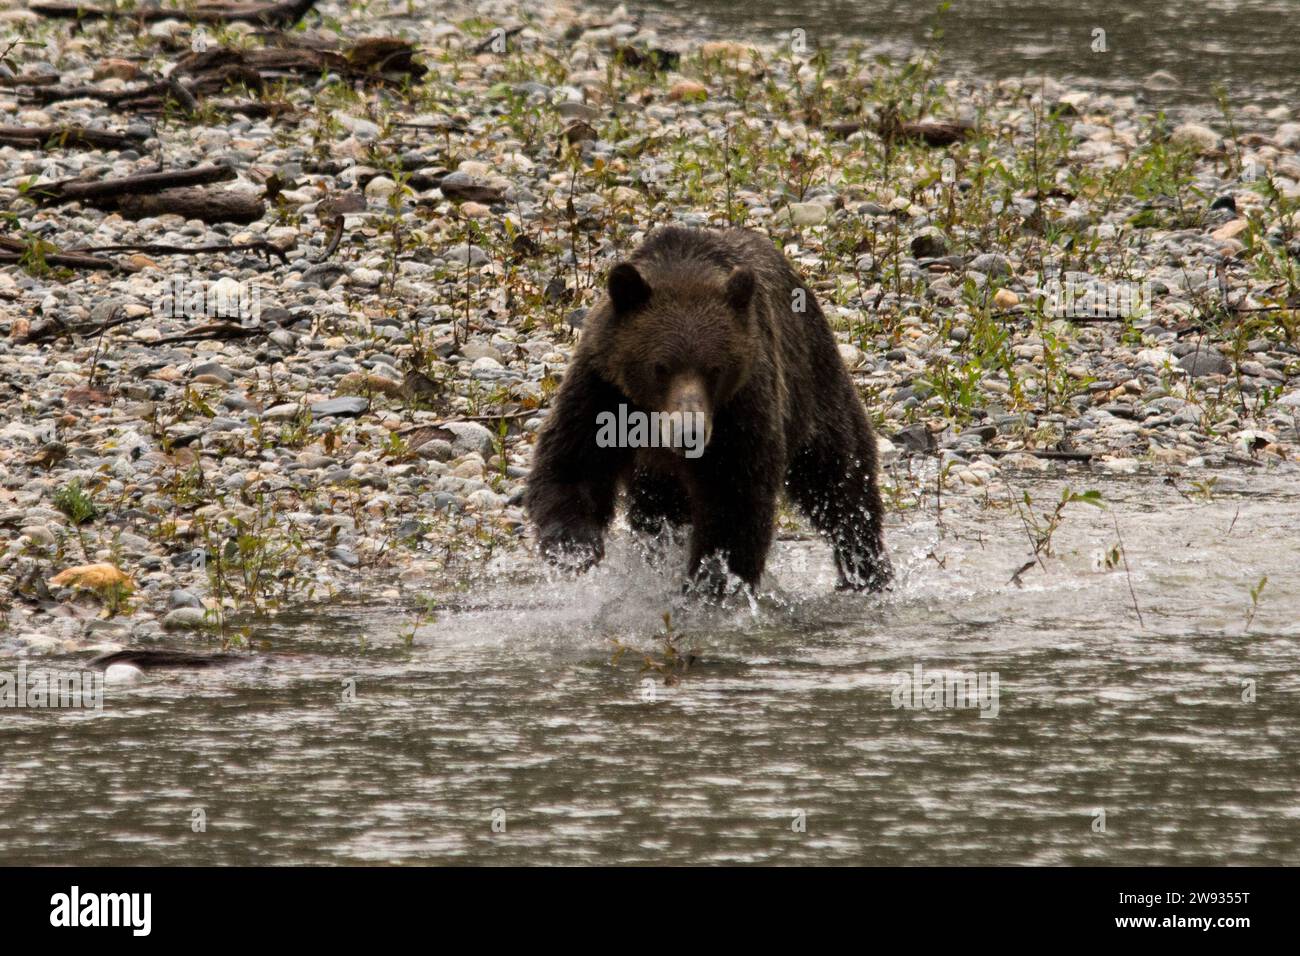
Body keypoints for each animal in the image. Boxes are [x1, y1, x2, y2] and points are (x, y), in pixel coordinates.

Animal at [524, 226, 890, 596]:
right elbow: (573, 462)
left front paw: (712, 580)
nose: (690, 433)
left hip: (813, 382)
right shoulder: (603, 389)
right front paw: (574, 548)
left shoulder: (741, 408)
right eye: (660, 367)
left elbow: (736, 502)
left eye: (714, 369)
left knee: (841, 481)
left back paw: (866, 572)